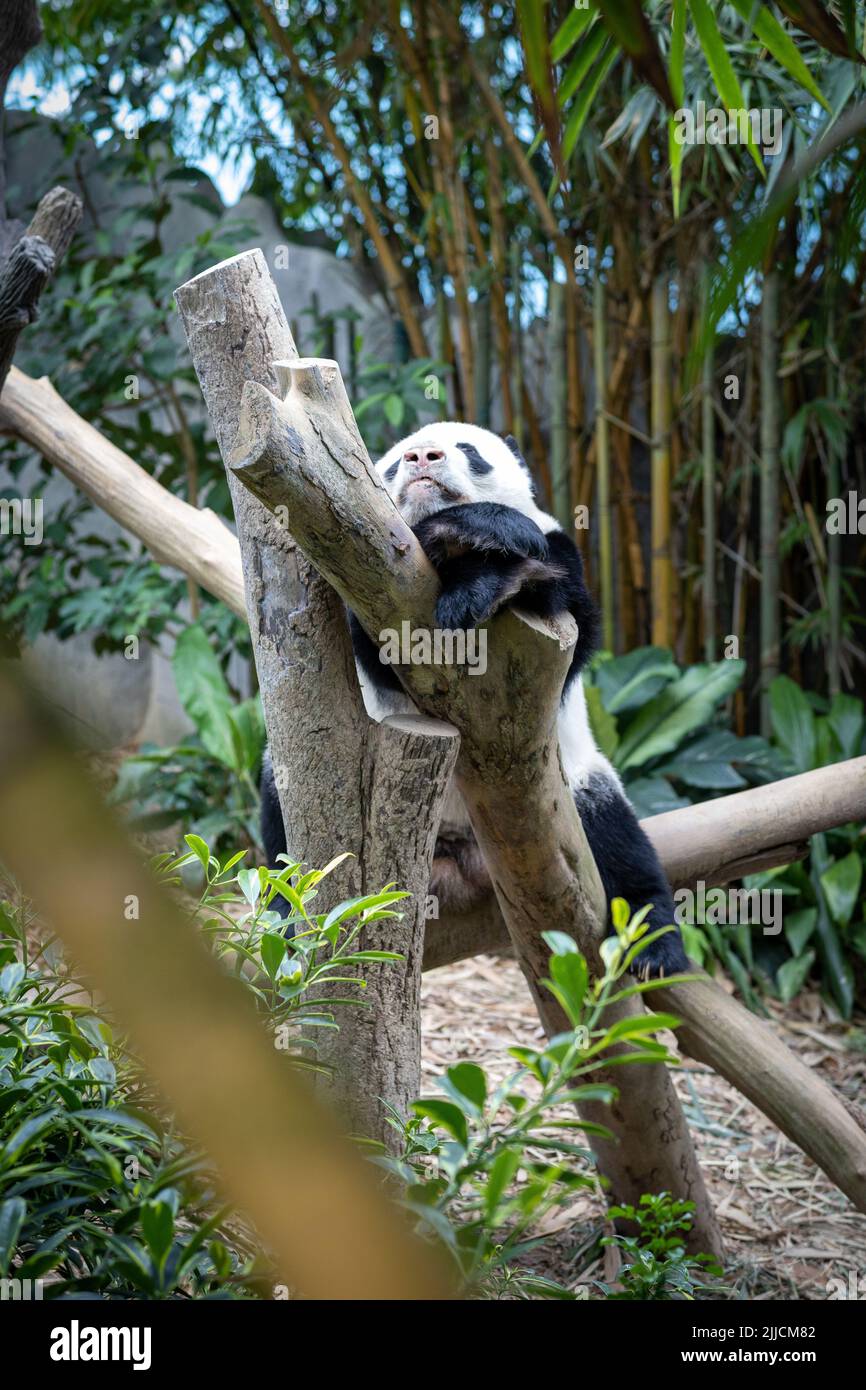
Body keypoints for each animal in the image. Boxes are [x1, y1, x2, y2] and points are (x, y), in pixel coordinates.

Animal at [260, 421, 690, 979]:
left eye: (468, 449)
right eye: (397, 461)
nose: (424, 456)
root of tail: (461, 860)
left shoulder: (556, 560)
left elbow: (564, 601)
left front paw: (481, 561)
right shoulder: (365, 590)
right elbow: (378, 653)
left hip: (577, 789)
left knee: (617, 838)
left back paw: (655, 945)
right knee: (279, 821)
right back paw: (282, 913)